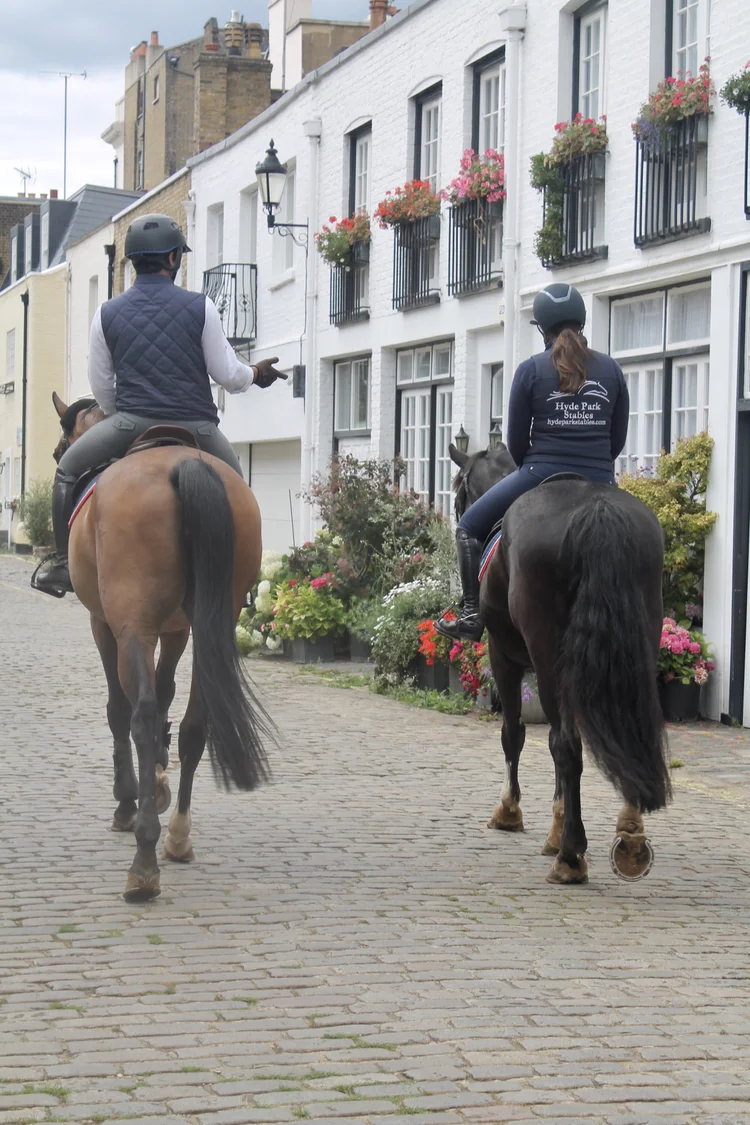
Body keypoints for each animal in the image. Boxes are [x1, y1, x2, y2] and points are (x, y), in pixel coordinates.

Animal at [48, 392, 271, 901]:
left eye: (57, 451)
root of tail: (182, 464)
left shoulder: (106, 625)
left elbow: (121, 709)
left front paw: (130, 799)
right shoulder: (176, 630)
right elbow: (167, 694)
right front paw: (160, 776)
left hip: (129, 624)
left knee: (140, 714)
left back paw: (144, 861)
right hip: (211, 624)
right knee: (195, 723)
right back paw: (178, 837)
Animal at [450, 444, 671, 884]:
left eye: (457, 493)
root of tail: (597, 509)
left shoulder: (504, 656)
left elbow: (515, 734)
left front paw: (512, 812)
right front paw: (556, 823)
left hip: (544, 653)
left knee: (566, 743)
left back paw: (570, 856)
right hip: (637, 646)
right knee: (632, 729)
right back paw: (631, 837)